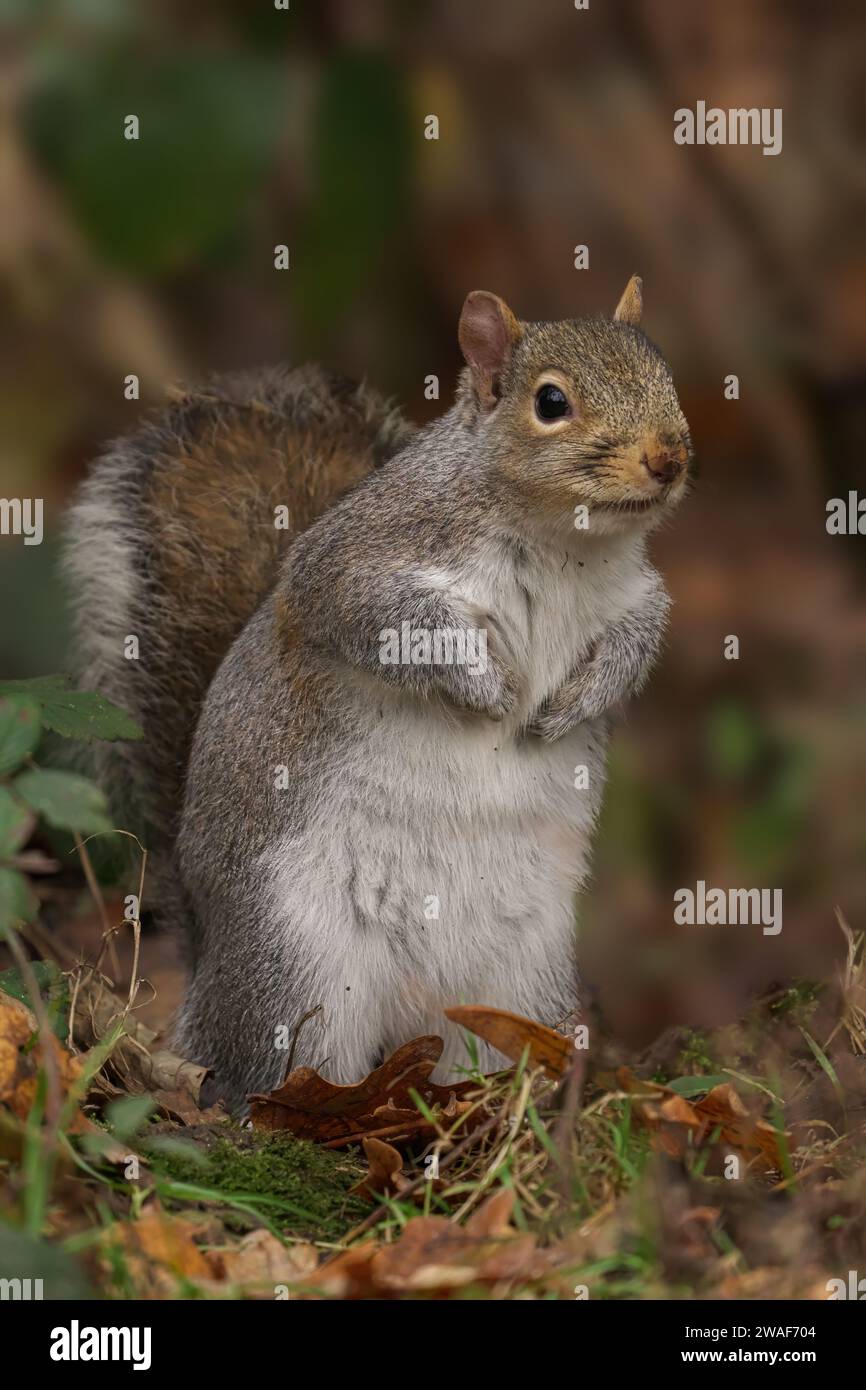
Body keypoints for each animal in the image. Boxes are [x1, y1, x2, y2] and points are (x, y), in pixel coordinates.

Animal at [64, 277, 692, 1112]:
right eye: (551, 401)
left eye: (666, 373)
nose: (668, 458)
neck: (568, 545)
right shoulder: (359, 564)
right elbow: (391, 625)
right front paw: (490, 691)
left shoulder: (635, 599)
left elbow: (634, 647)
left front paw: (574, 703)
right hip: (297, 964)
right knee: (273, 1069)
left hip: (522, 975)